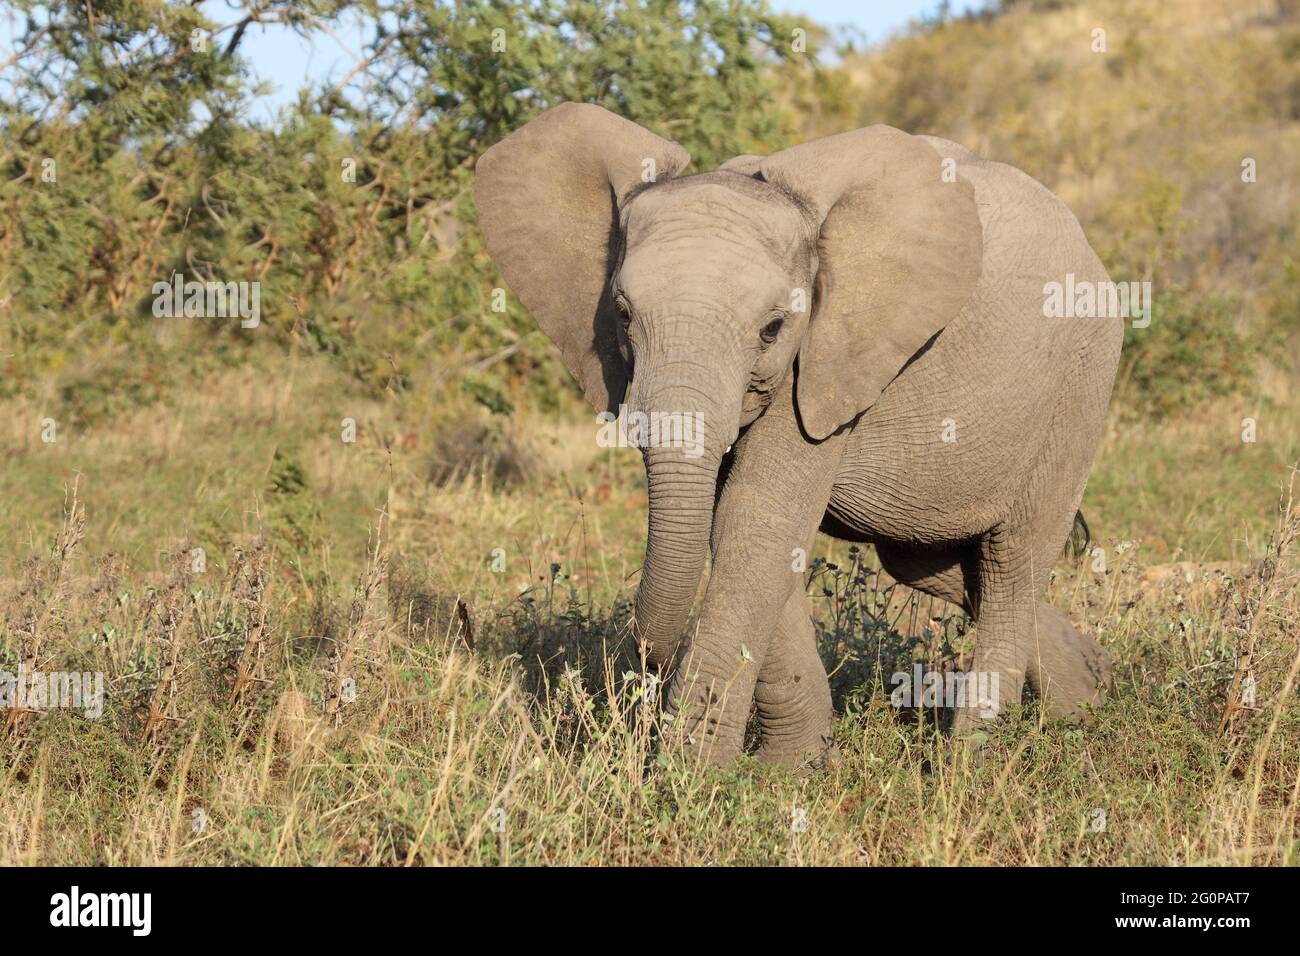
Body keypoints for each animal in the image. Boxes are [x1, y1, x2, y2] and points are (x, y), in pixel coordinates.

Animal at [474, 102, 1122, 767]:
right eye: (622, 314)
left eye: (772, 328)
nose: (644, 666)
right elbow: (736, 524)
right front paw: (793, 767)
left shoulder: (824, 357)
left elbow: (756, 522)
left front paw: (690, 775)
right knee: (932, 562)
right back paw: (1090, 694)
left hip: (1080, 383)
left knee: (1011, 561)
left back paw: (972, 760)